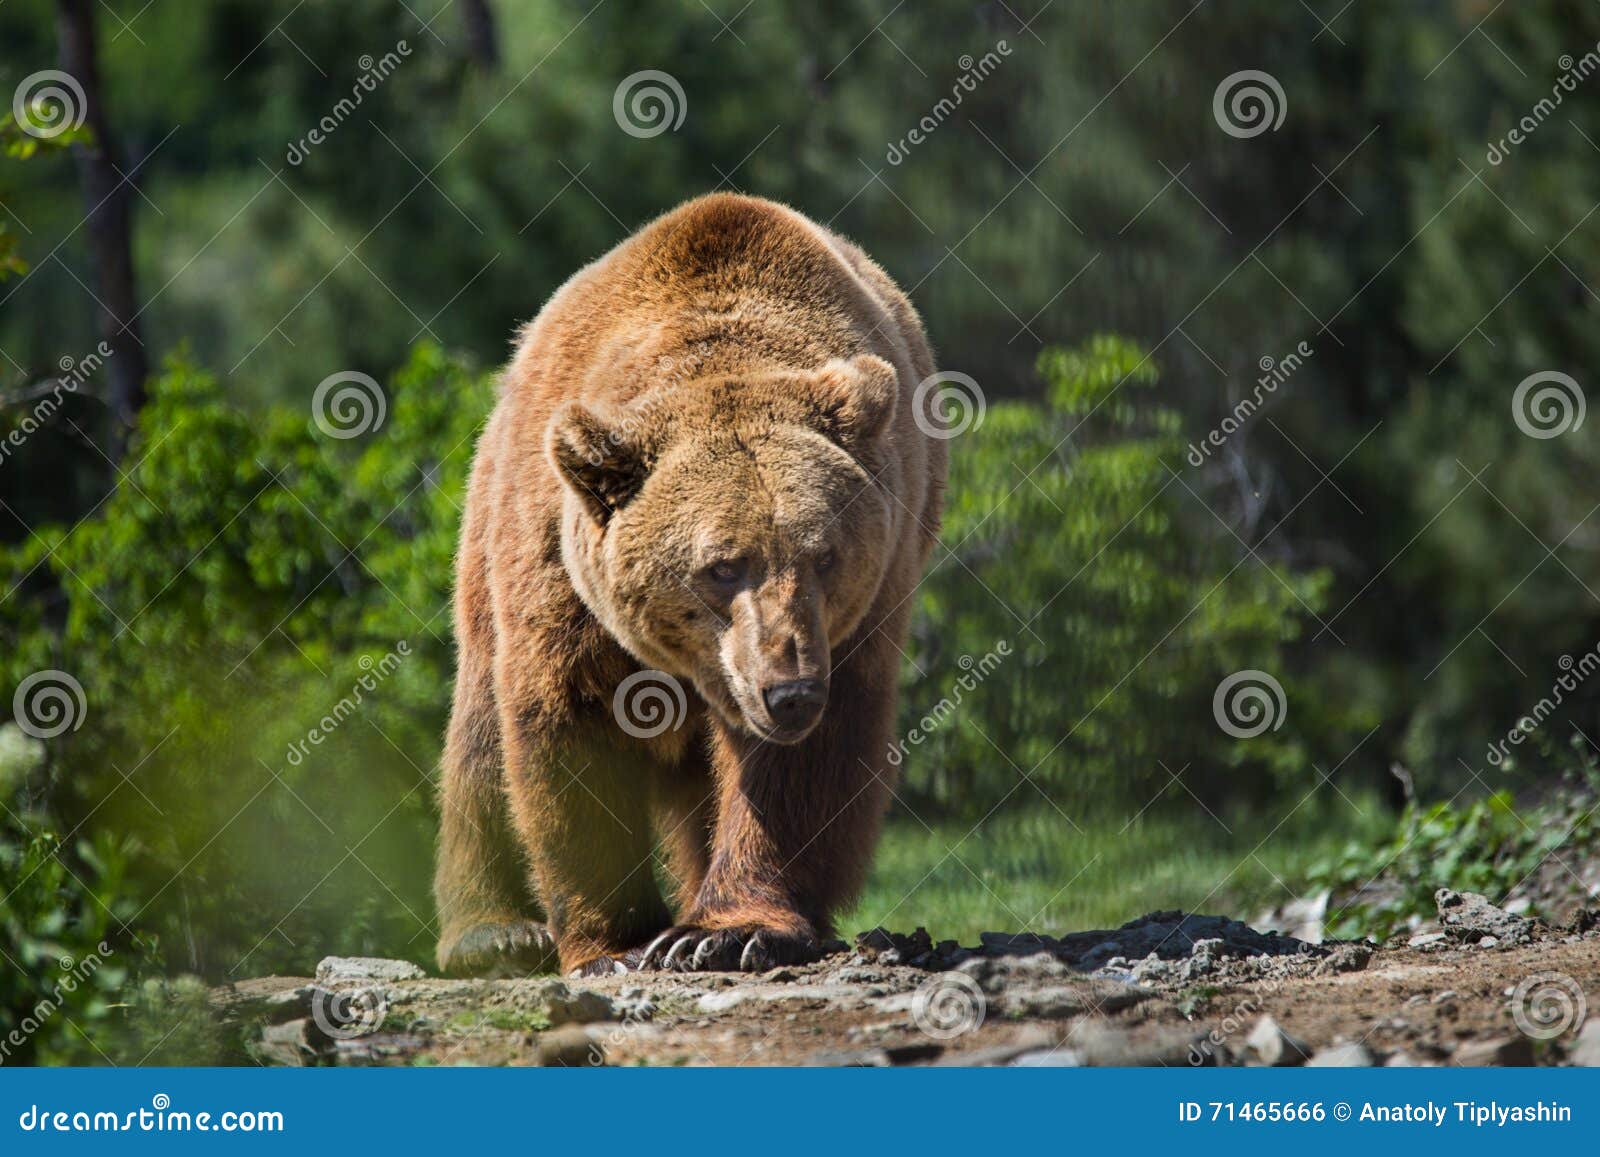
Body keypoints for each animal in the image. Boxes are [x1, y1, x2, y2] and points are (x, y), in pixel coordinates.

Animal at [433, 192, 947, 977]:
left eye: (826, 555)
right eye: (722, 565)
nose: (791, 692)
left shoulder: (863, 608)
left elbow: (801, 768)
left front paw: (725, 930)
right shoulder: (563, 571)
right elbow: (573, 724)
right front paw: (616, 943)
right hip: (488, 523)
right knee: (480, 729)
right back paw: (492, 931)